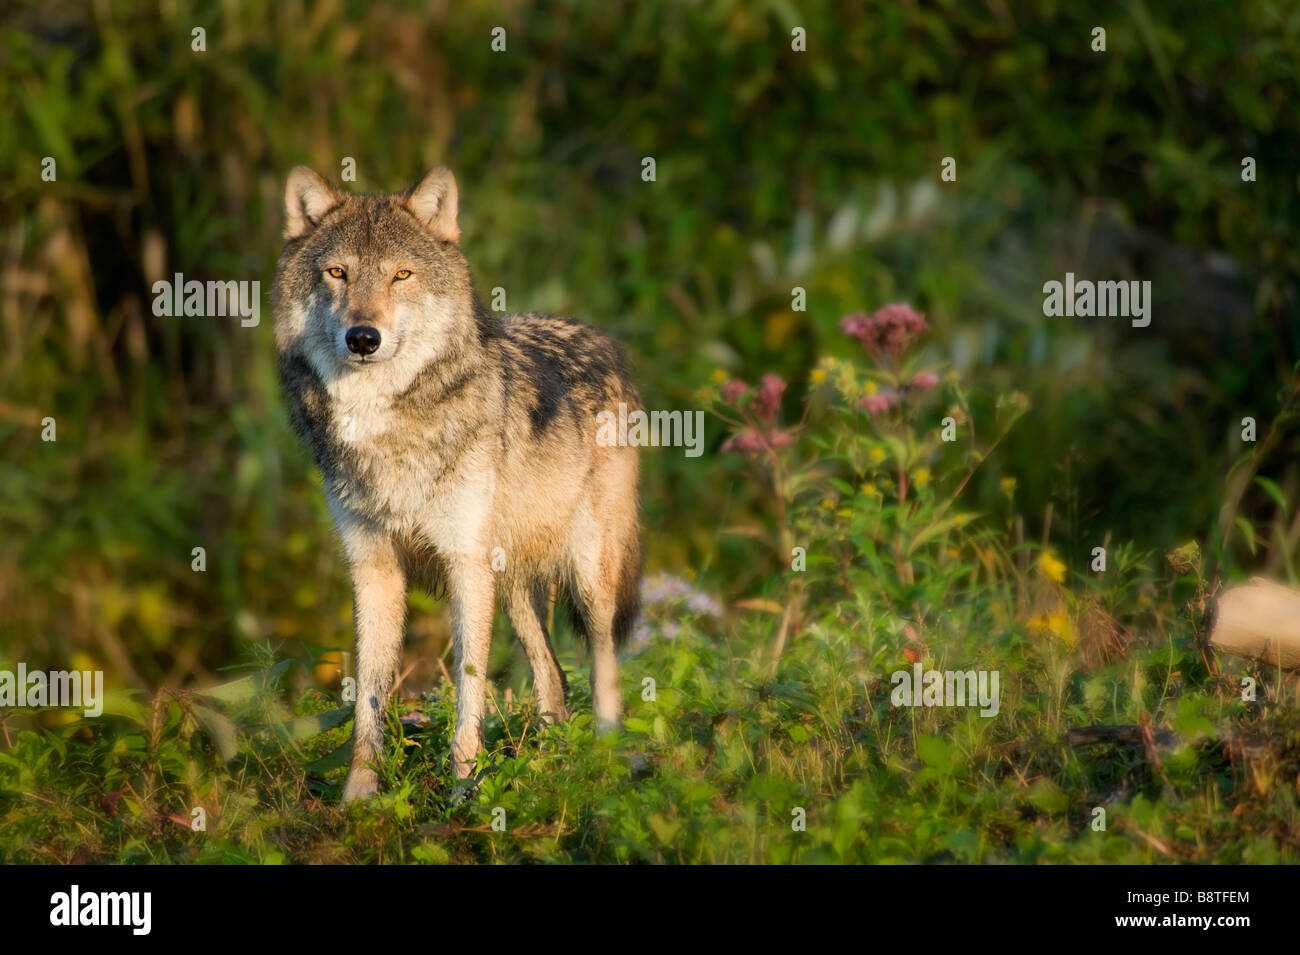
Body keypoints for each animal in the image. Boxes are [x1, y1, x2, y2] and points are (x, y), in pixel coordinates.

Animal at [272, 166, 642, 803]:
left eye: (401, 275)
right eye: (337, 272)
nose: (363, 338)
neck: (383, 427)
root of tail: (602, 338)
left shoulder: (465, 565)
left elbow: (470, 684)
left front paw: (466, 786)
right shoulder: (373, 569)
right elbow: (370, 695)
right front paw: (358, 795)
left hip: (588, 575)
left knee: (603, 668)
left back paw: (603, 762)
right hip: (515, 585)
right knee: (553, 677)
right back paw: (551, 763)